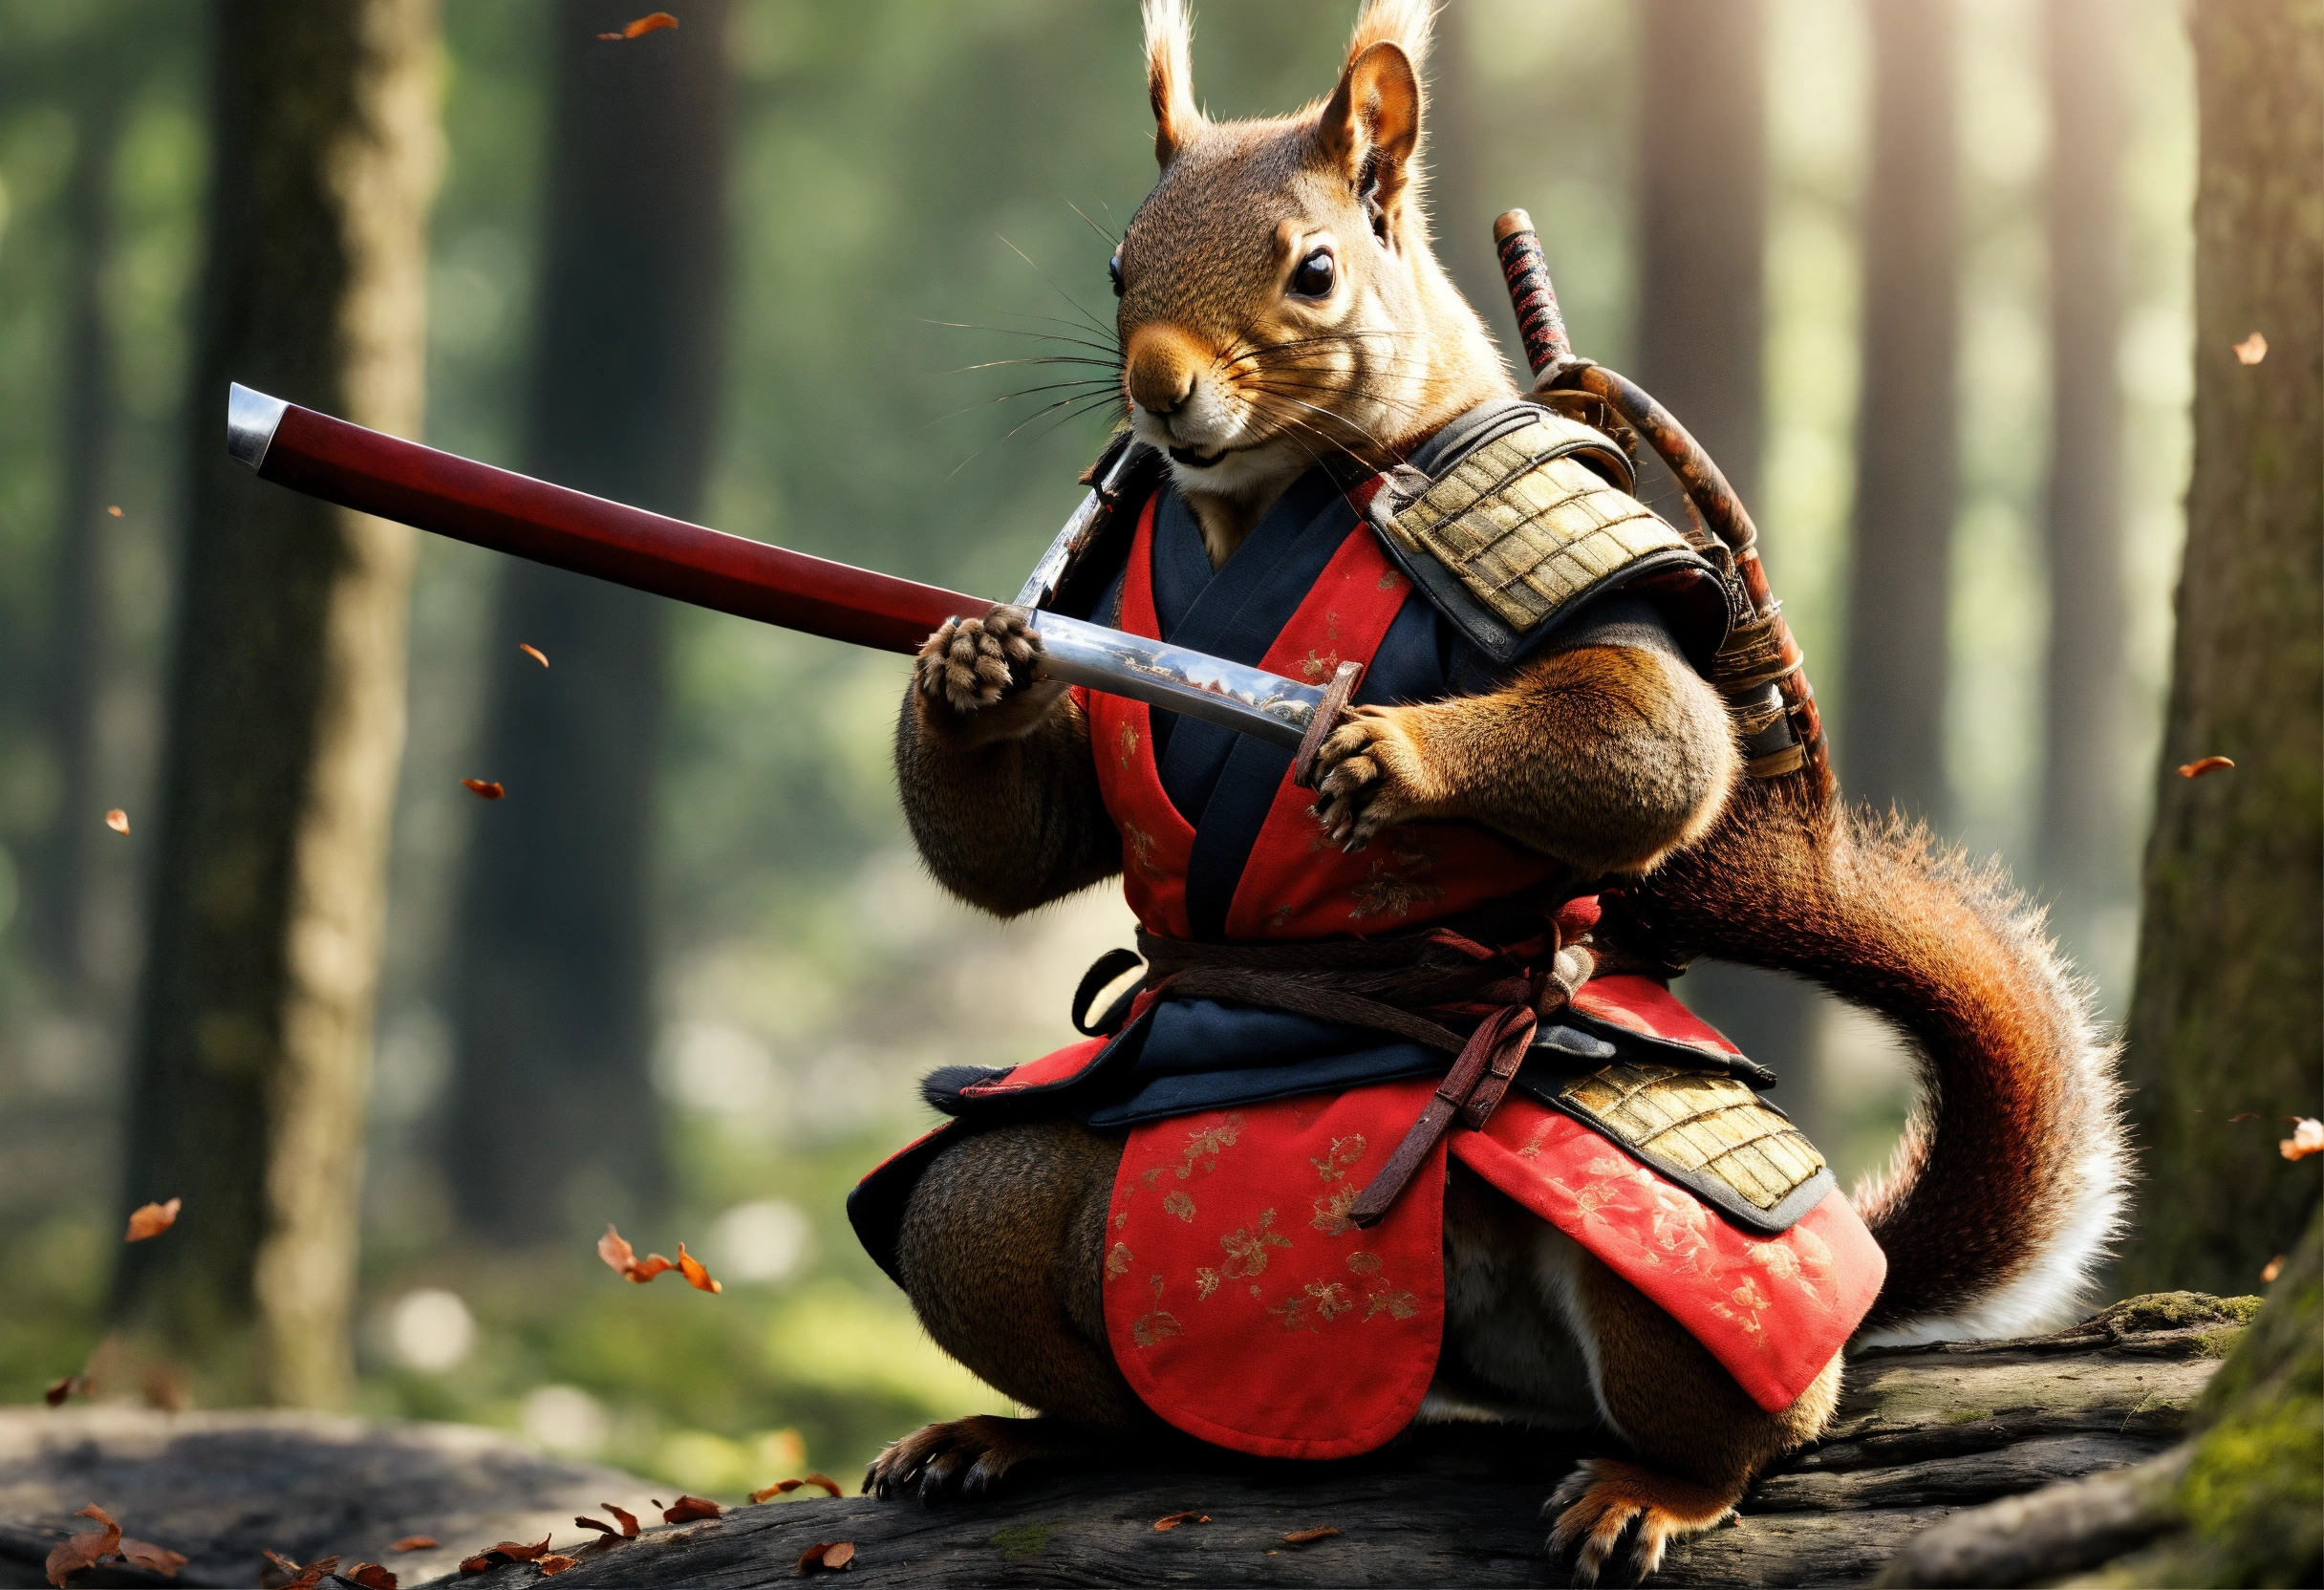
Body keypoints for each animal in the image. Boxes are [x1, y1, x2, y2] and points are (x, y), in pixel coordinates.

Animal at [873, 2, 2125, 1582]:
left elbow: (1662, 738)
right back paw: (1021, 1435)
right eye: (1116, 263)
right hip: (1043, 1216)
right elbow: (1031, 850)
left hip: (1671, 1243)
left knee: (1738, 1387)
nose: (1158, 396)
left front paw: (1385, 756)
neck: (1263, 496)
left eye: (1315, 269)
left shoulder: (1544, 518)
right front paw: (968, 669)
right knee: (971, 1214)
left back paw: (1656, 1488)